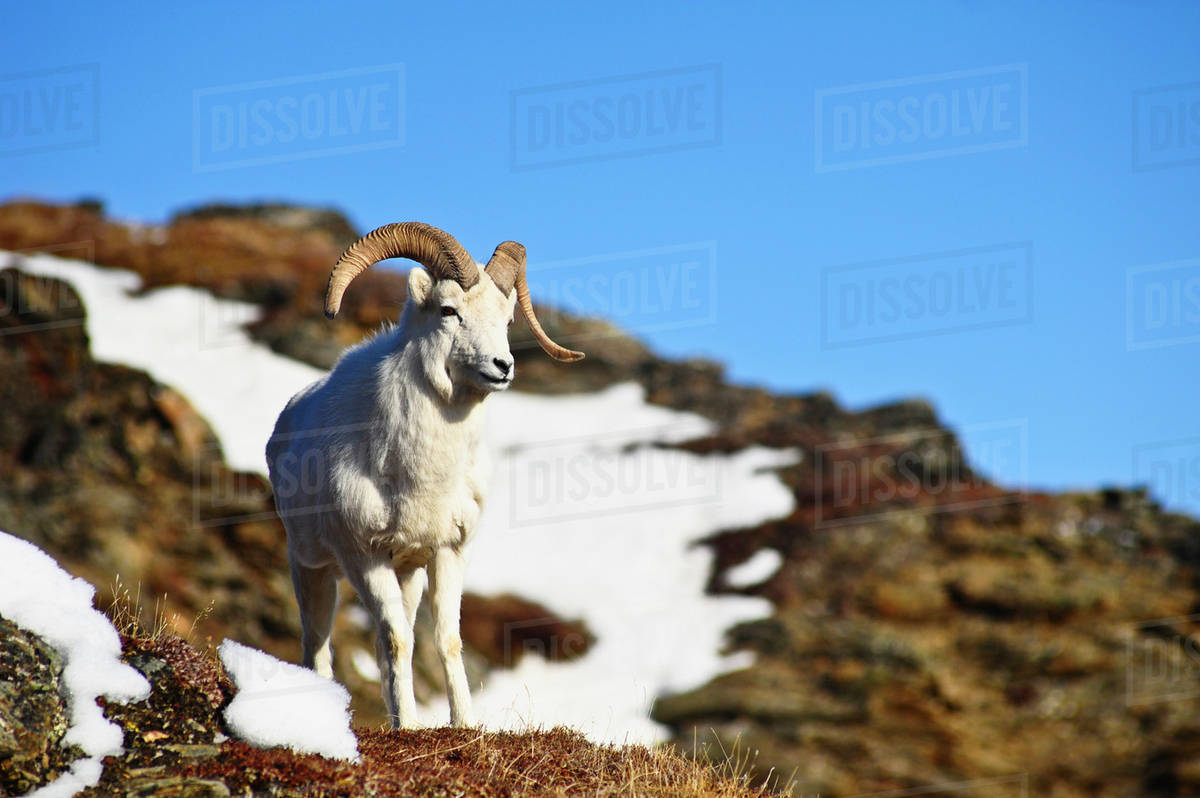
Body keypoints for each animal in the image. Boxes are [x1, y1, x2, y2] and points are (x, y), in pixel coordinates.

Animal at [265, 223, 583, 728]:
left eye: (506, 319)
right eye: (449, 310)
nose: (503, 367)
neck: (420, 473)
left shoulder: (448, 552)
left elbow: (444, 640)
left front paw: (462, 725)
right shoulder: (364, 557)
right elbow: (396, 639)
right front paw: (411, 727)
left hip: (407, 574)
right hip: (312, 569)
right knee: (317, 645)